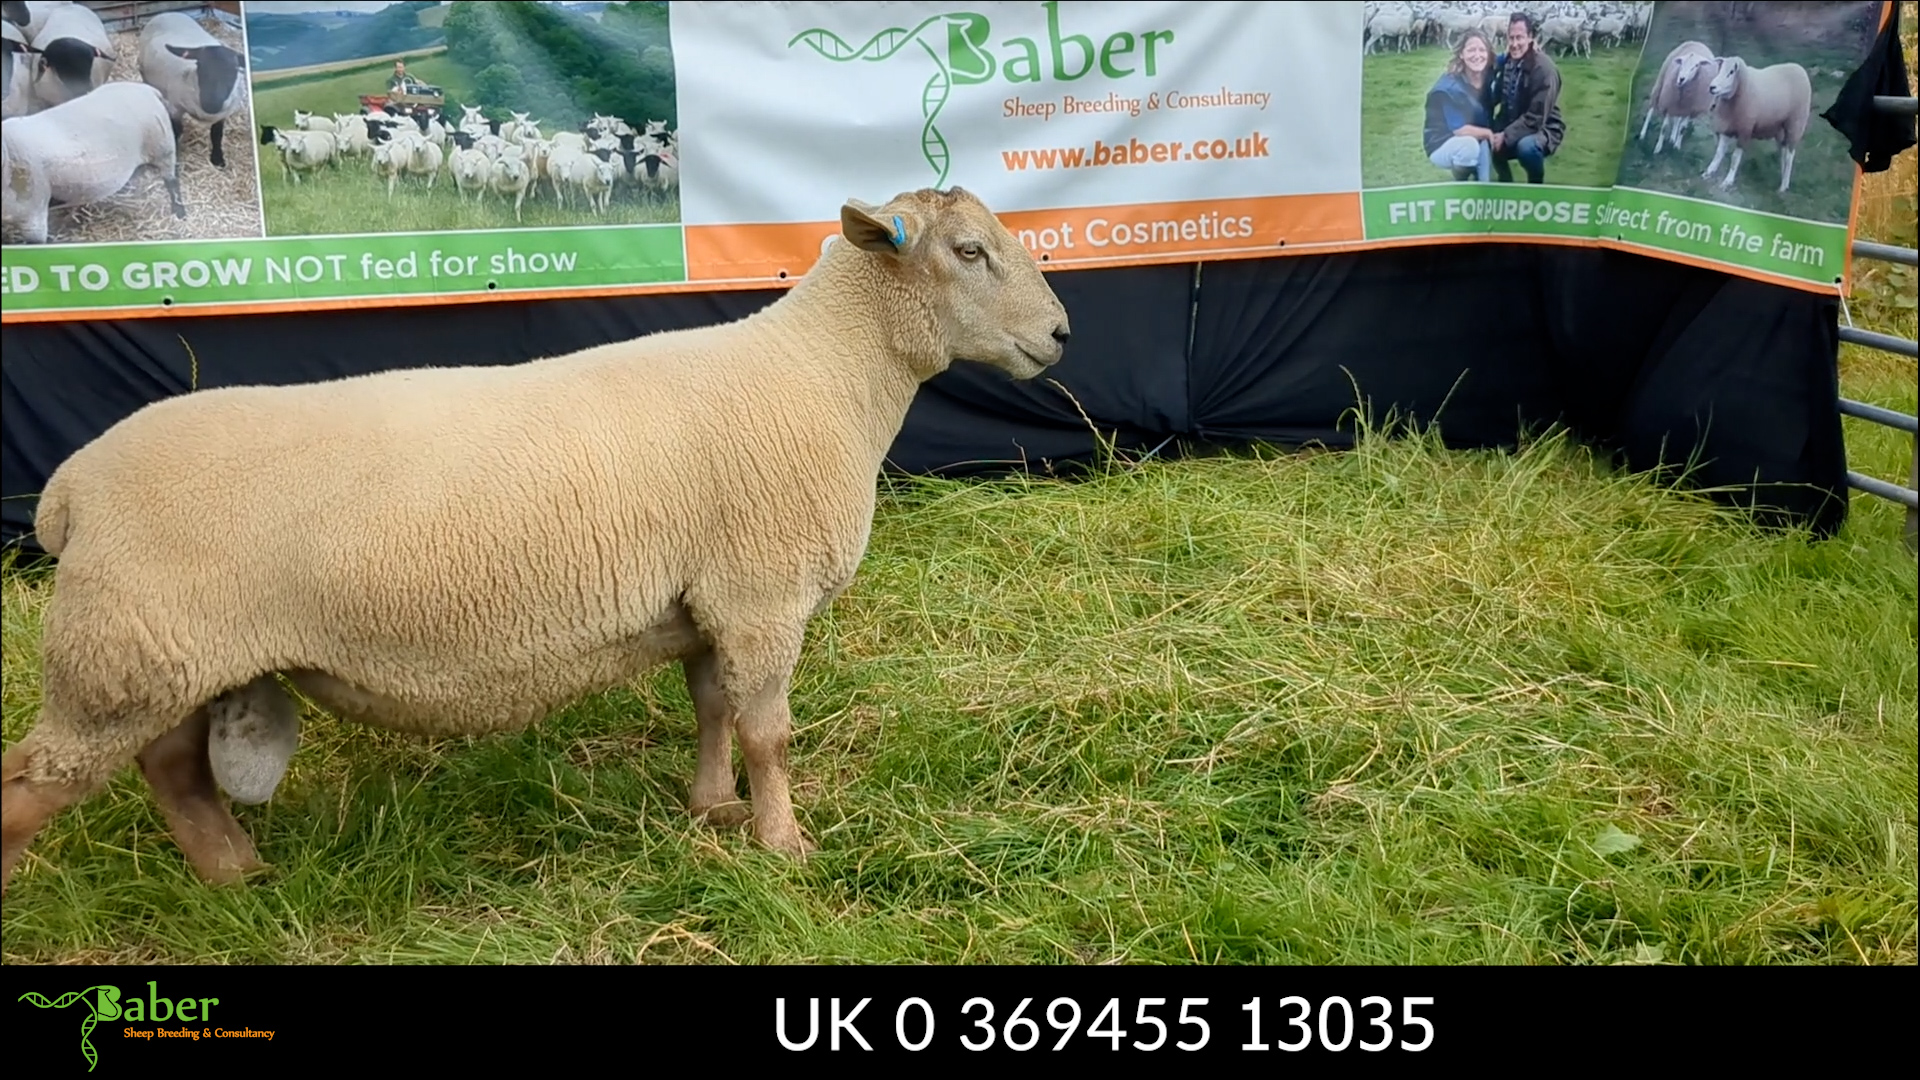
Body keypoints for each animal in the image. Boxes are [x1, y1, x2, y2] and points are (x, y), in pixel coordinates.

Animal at [0, 186, 1071, 894]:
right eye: (968, 252)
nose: (1062, 334)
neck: (827, 372)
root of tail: (69, 490)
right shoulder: (761, 595)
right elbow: (768, 733)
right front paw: (784, 846)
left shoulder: (709, 600)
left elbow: (713, 713)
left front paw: (713, 810)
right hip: (120, 659)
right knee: (34, 789)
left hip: (161, 657)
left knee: (176, 773)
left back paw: (238, 877)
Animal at [139, 11, 248, 169]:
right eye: (200, 67)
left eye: (233, 71)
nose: (212, 104)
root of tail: (168, 12)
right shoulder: (175, 106)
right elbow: (176, 131)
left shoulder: (223, 114)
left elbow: (217, 134)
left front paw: (218, 159)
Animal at [1699, 56, 1813, 194]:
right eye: (1719, 69)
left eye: (1731, 72)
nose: (1712, 87)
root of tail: (1799, 68)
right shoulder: (1727, 128)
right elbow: (1719, 153)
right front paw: (1709, 171)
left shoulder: (1745, 130)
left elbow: (1735, 158)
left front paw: (1728, 181)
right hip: (1780, 130)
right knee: (1783, 153)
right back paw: (1782, 177)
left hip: (1795, 124)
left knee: (1789, 156)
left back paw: (1783, 186)